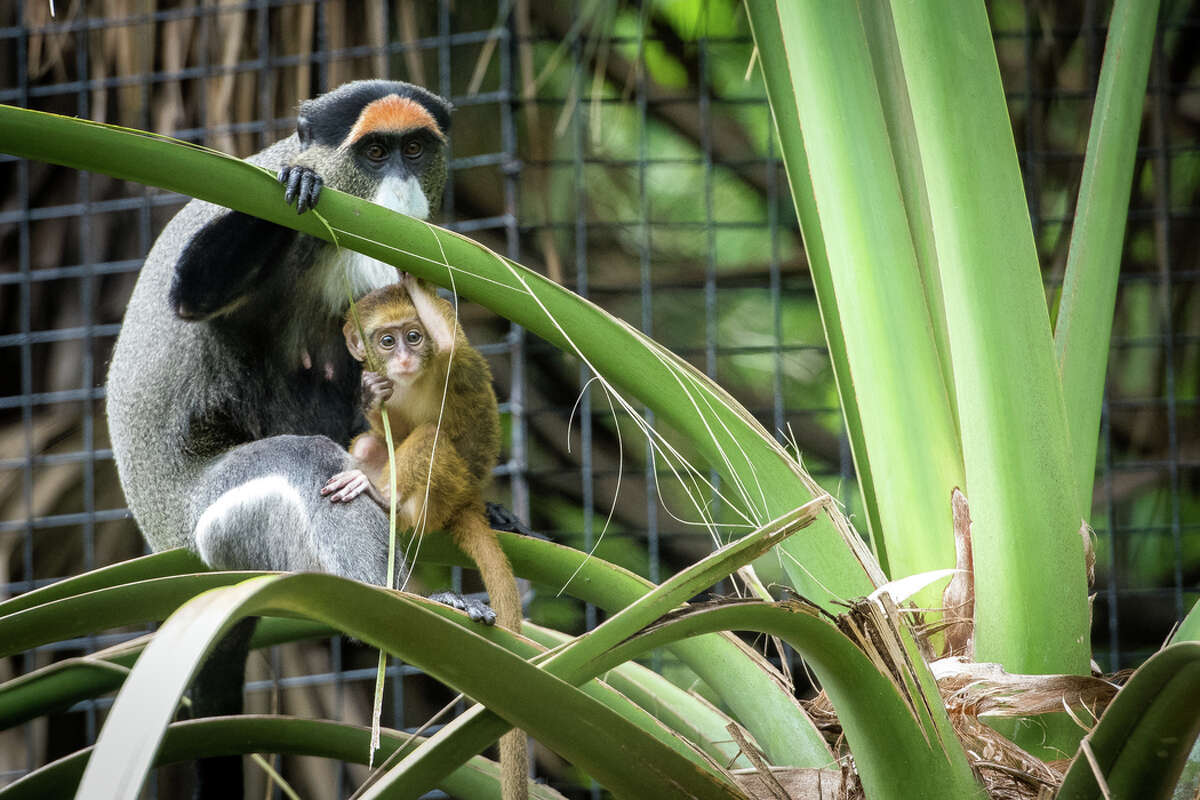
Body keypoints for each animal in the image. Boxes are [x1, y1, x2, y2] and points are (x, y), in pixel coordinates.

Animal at [322, 273, 529, 800]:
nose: (404, 358)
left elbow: (453, 345)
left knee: (434, 438)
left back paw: (385, 499)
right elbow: (386, 427)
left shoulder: (453, 362)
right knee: (372, 444)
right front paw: (370, 397)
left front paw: (412, 275)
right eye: (386, 341)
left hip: (448, 488)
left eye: (413, 336)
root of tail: (466, 501)